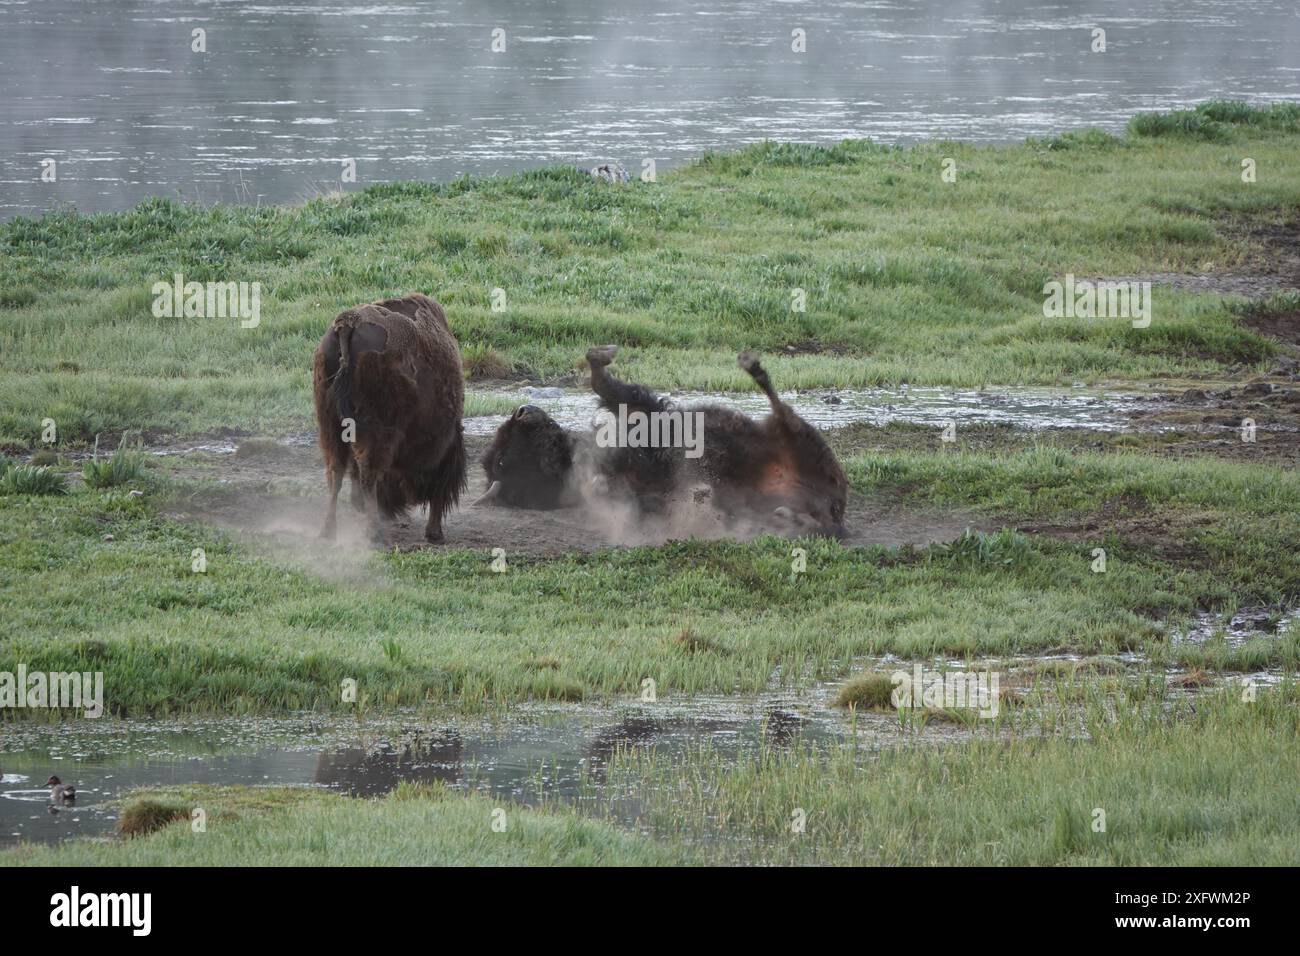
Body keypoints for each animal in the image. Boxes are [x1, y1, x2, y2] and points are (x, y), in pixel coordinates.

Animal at [312, 293, 466, 544]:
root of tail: (347, 324)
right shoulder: (445, 446)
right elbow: (438, 489)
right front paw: (434, 533)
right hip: (377, 433)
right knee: (368, 473)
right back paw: (374, 533)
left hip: (330, 427)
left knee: (336, 471)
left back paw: (329, 531)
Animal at [476, 346, 848, 538]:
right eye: (502, 460)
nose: (522, 411)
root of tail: (834, 502)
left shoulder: (641, 412)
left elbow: (609, 387)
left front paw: (603, 354)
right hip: (796, 449)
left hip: (787, 434)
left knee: (775, 403)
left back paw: (751, 366)